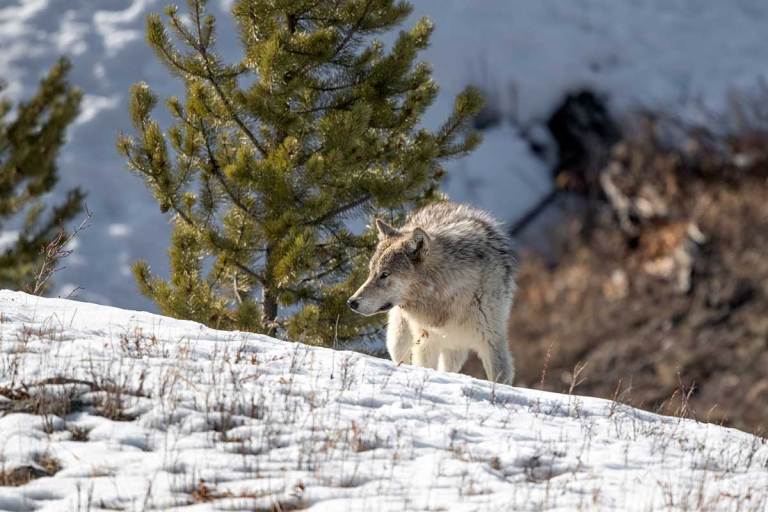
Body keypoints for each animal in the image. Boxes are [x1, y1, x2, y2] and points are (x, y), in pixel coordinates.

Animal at [347, 201, 517, 385]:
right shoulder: (426, 343)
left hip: (455, 349)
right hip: (399, 341)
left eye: (385, 274)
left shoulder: (492, 341)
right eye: (371, 272)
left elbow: (499, 380)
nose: (351, 302)